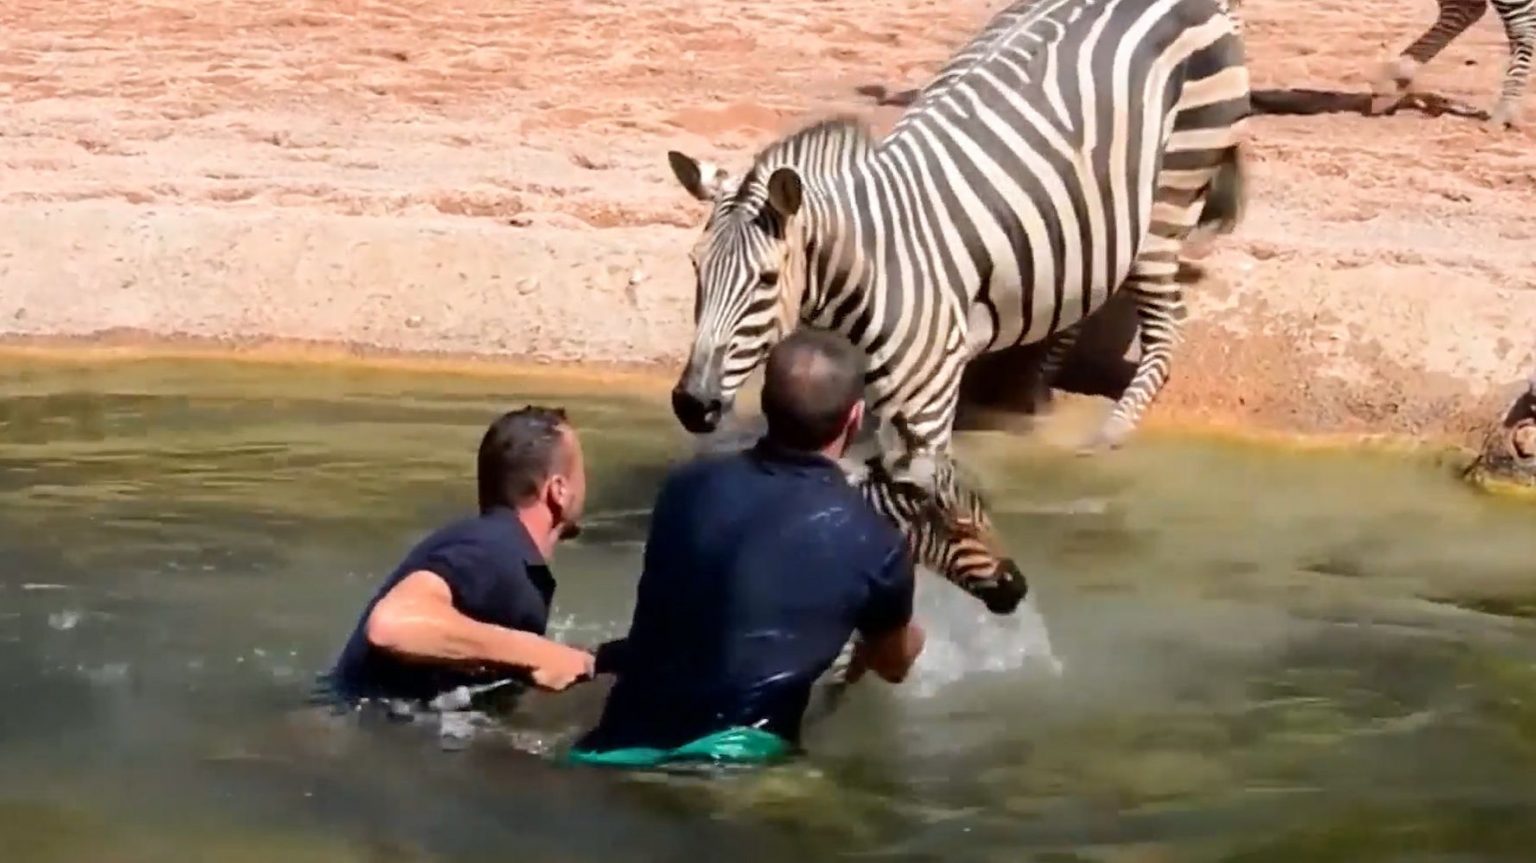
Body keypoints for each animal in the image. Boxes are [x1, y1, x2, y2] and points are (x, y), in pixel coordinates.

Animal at [665, 0, 1251, 456]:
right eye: (695, 269)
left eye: (766, 279)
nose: (692, 406)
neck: (868, 266)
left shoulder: (926, 399)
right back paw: (1030, 402)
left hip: (1172, 190)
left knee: (1167, 322)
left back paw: (1106, 436)